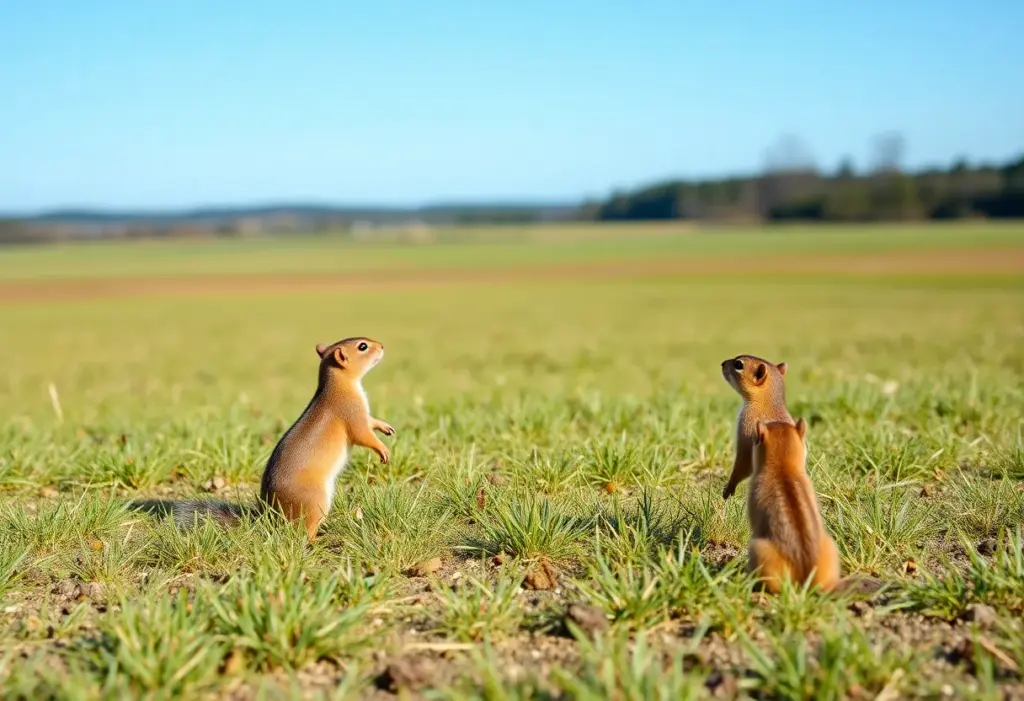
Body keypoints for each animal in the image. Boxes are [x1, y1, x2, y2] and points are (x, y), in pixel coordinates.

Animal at [132, 336, 394, 541]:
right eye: (362, 346)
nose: (382, 346)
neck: (339, 385)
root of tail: (270, 517)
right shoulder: (353, 416)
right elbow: (364, 435)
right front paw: (383, 450)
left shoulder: (364, 417)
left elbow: (372, 423)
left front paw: (386, 427)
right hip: (316, 503)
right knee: (302, 534)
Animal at [720, 354, 793, 501]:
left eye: (738, 364)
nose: (722, 363)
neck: (767, 402)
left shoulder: (746, 429)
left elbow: (742, 464)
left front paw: (729, 489)